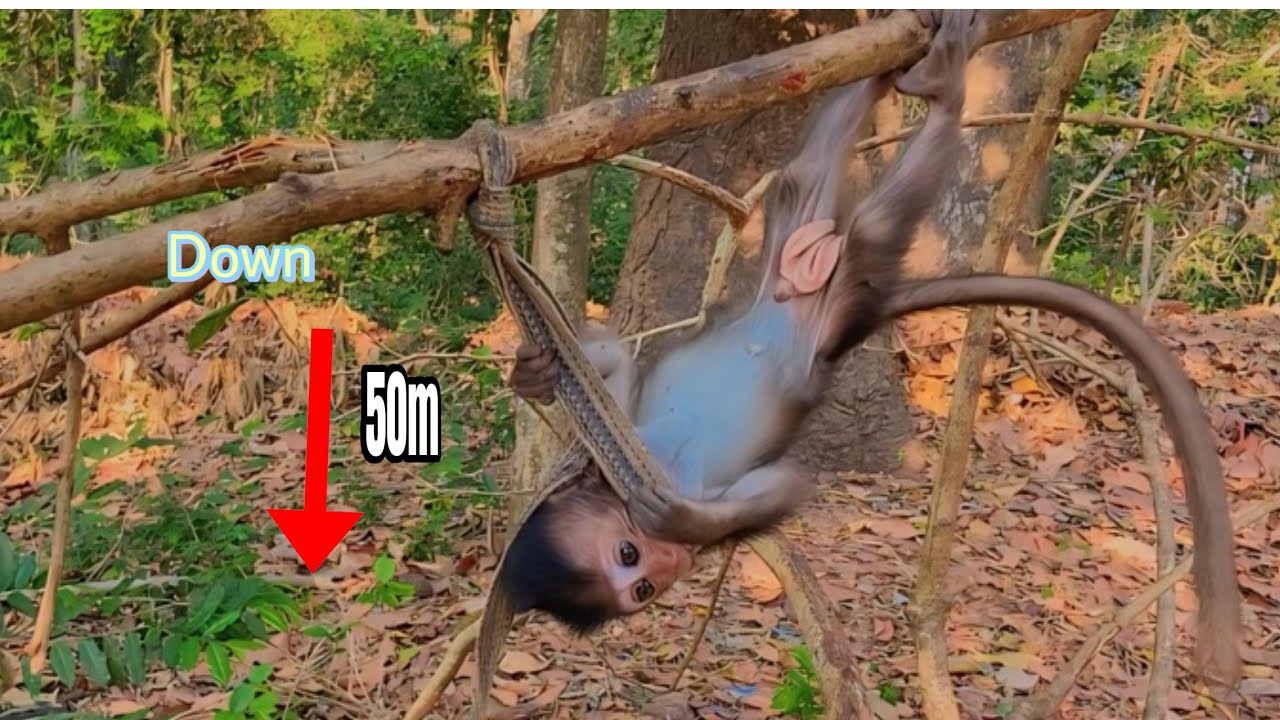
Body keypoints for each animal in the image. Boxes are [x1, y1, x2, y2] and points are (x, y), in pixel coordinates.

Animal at [497, 9, 1242, 686]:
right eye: (640, 587)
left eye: (630, 557)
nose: (665, 566)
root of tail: (821, 305)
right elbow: (760, 479)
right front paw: (538, 371)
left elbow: (668, 416)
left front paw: (546, 379)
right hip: (816, 267)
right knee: (808, 180)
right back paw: (885, 81)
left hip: (842, 281)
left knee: (865, 212)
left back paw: (936, 86)